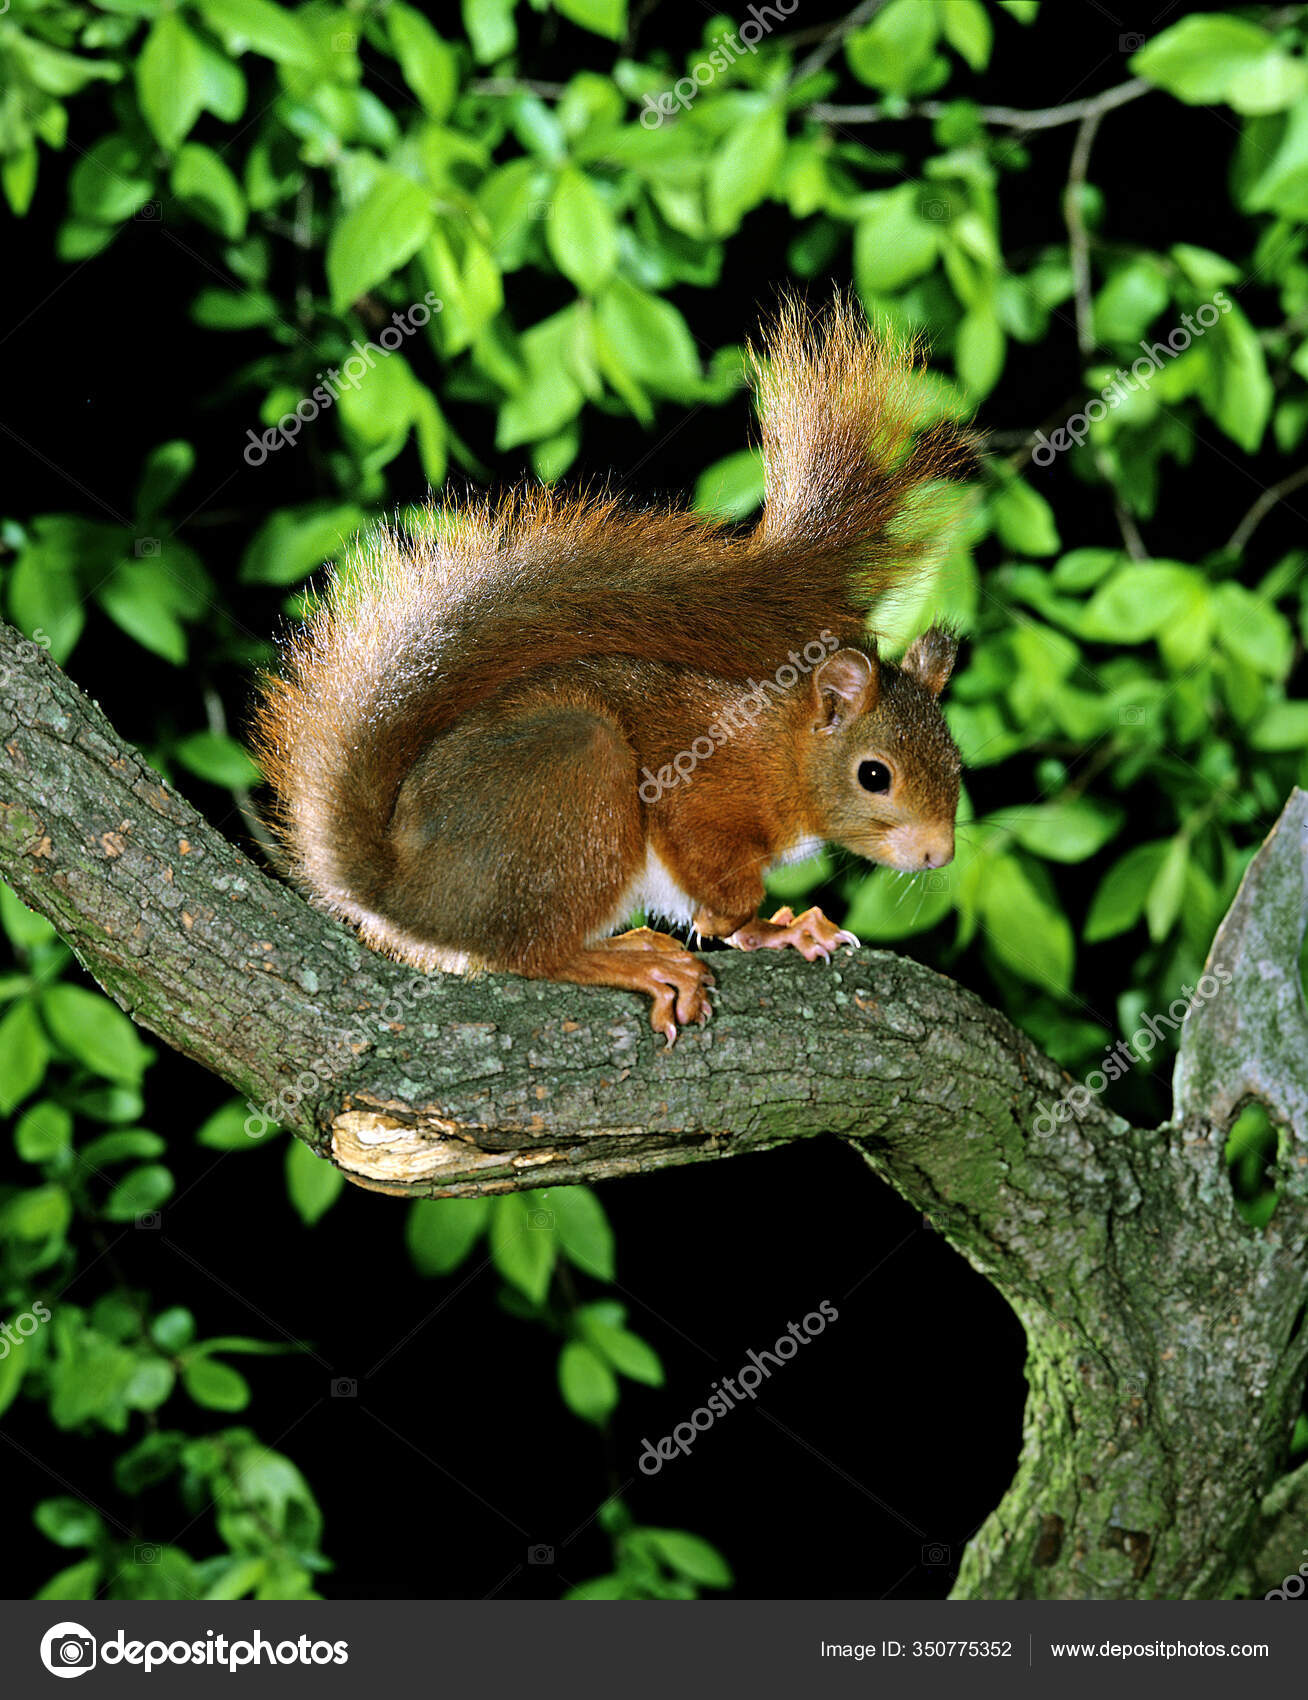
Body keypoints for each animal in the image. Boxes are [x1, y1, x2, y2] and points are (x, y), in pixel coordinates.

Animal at [252, 297, 972, 1044]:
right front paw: (747, 919)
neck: (783, 749)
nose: (939, 855)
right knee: (532, 953)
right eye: (874, 776)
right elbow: (716, 882)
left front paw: (784, 930)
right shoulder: (704, 794)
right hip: (579, 781)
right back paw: (638, 962)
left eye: (958, 765)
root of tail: (405, 892)